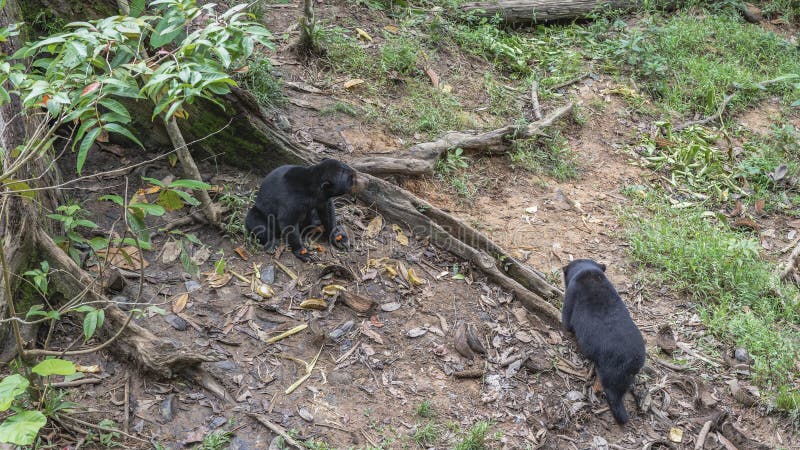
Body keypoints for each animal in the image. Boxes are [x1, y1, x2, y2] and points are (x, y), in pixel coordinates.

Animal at [562, 258, 645, 425]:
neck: (587, 271)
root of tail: (632, 361)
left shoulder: (571, 295)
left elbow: (566, 320)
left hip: (610, 370)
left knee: (614, 393)